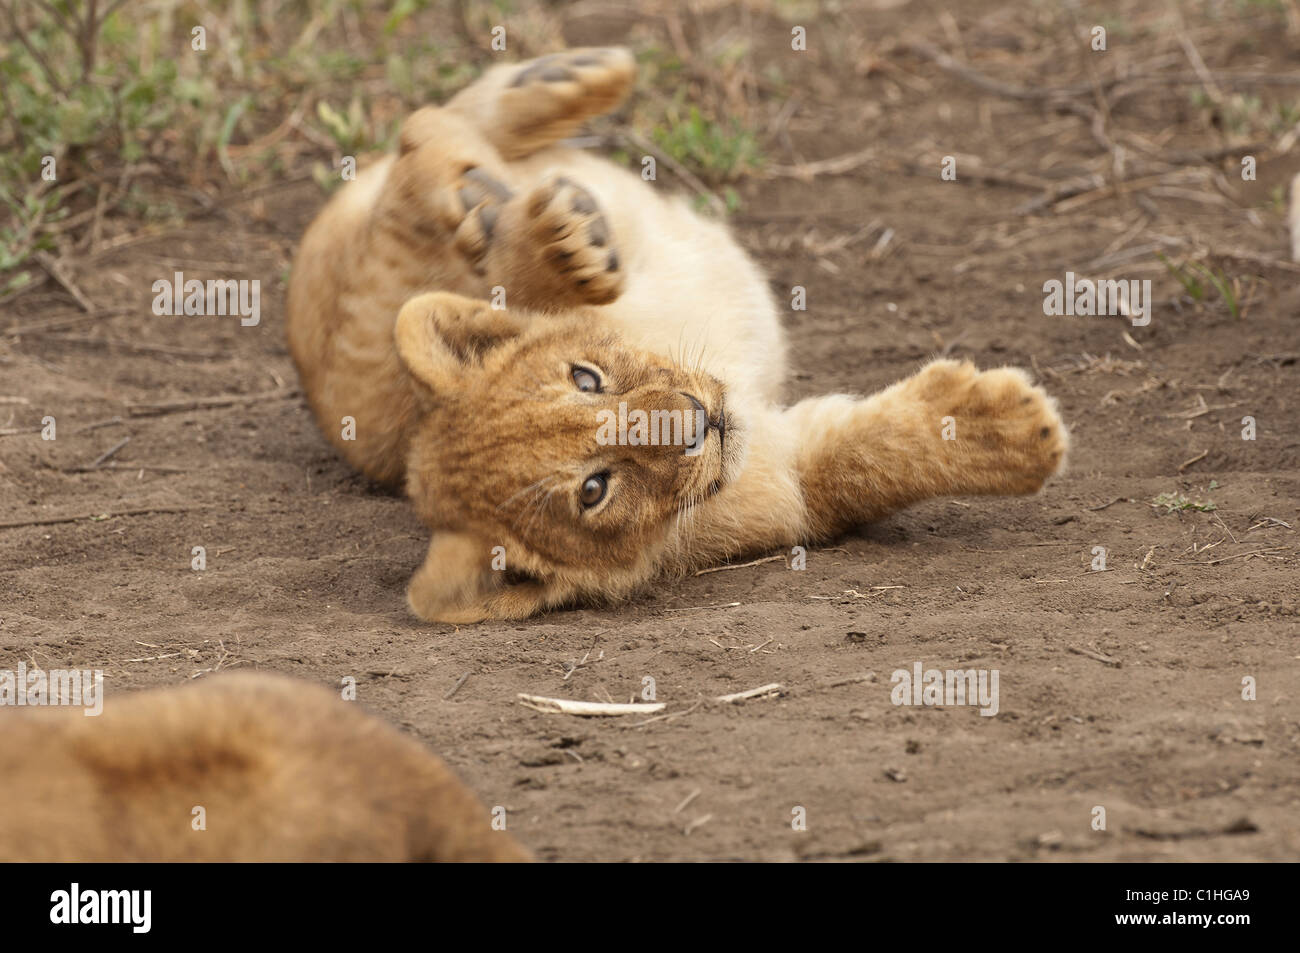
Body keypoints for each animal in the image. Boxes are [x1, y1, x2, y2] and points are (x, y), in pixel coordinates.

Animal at [287, 47, 1068, 625]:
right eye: (594, 489)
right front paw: (1007, 428)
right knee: (420, 148)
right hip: (363, 394)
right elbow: (863, 463)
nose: (697, 420)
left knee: (427, 136)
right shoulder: (785, 485)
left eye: (586, 378)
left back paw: (543, 159)